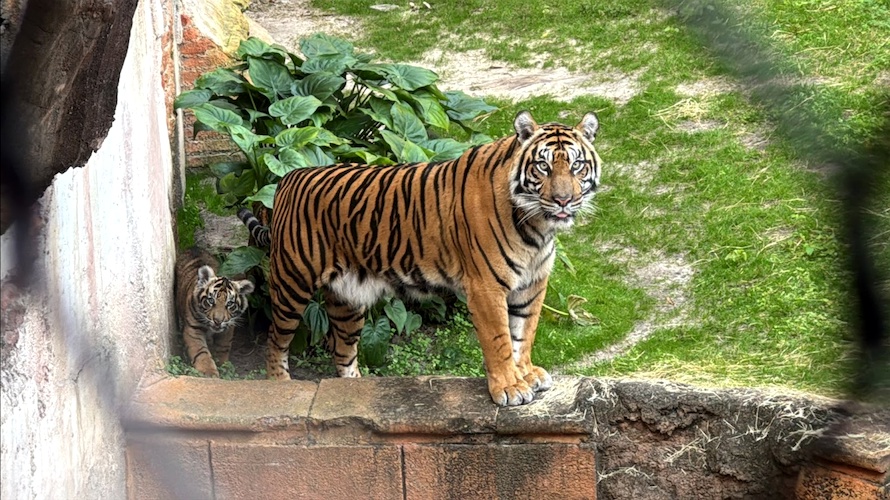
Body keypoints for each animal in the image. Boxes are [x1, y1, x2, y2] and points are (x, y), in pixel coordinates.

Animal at [174, 247, 255, 377]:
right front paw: (209, 372)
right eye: (211, 300)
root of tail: (193, 248)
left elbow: (223, 347)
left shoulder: (228, 328)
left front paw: (223, 365)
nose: (218, 321)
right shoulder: (193, 329)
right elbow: (201, 352)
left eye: (229, 304)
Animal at [239, 110, 601, 406]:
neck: (537, 228)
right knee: (275, 340)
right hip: (292, 284)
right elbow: (500, 340)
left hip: (348, 300)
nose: (563, 200)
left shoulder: (532, 285)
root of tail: (288, 177)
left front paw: (525, 373)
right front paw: (509, 388)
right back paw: (280, 385)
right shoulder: (486, 287)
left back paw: (353, 390)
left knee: (342, 351)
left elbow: (523, 334)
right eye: (543, 166)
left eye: (576, 165)